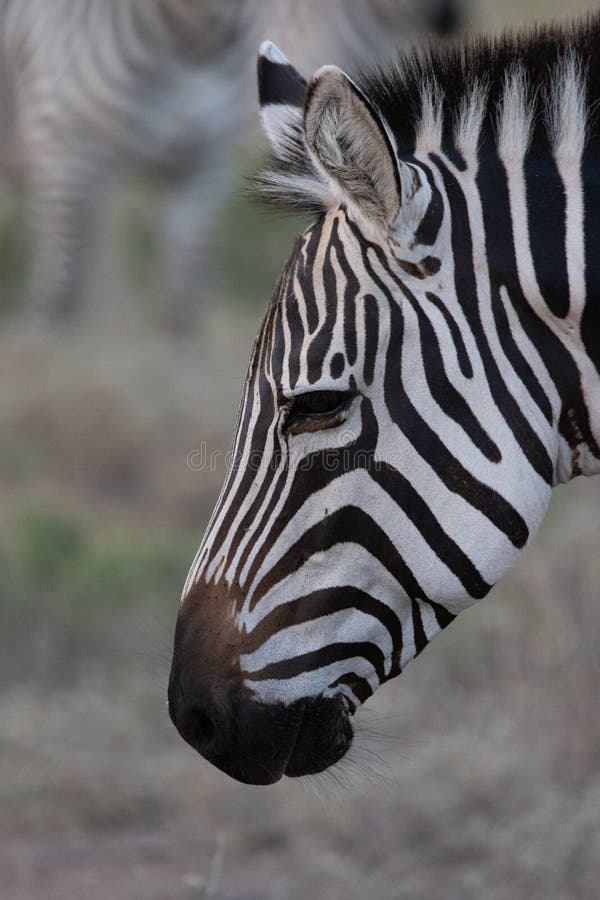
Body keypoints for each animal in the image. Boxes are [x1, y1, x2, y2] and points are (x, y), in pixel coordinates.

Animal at [0, 0, 460, 327]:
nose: (449, 19)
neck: (194, 39)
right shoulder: (67, 152)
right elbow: (62, 298)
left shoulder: (204, 166)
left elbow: (182, 301)